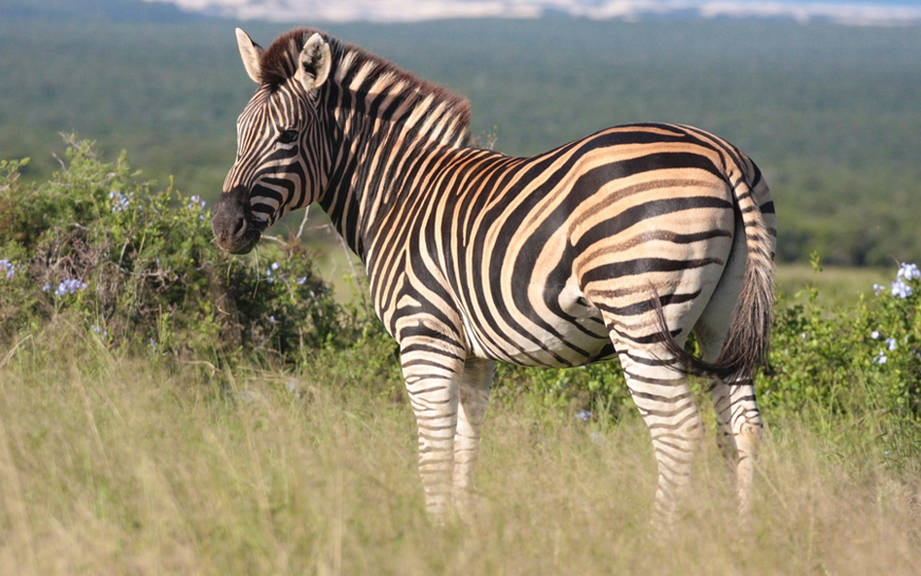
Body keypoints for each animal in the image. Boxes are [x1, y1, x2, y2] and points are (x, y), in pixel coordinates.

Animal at [212, 27, 776, 524]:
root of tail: (720, 154)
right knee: (741, 427)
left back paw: (658, 539)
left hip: (638, 315)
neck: (398, 192)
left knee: (679, 432)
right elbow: (467, 442)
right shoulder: (474, 353)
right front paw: (461, 529)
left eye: (287, 136)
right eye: (237, 132)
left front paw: (433, 532)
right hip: (724, 320)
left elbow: (433, 446)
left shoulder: (425, 335)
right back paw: (741, 534)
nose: (223, 227)